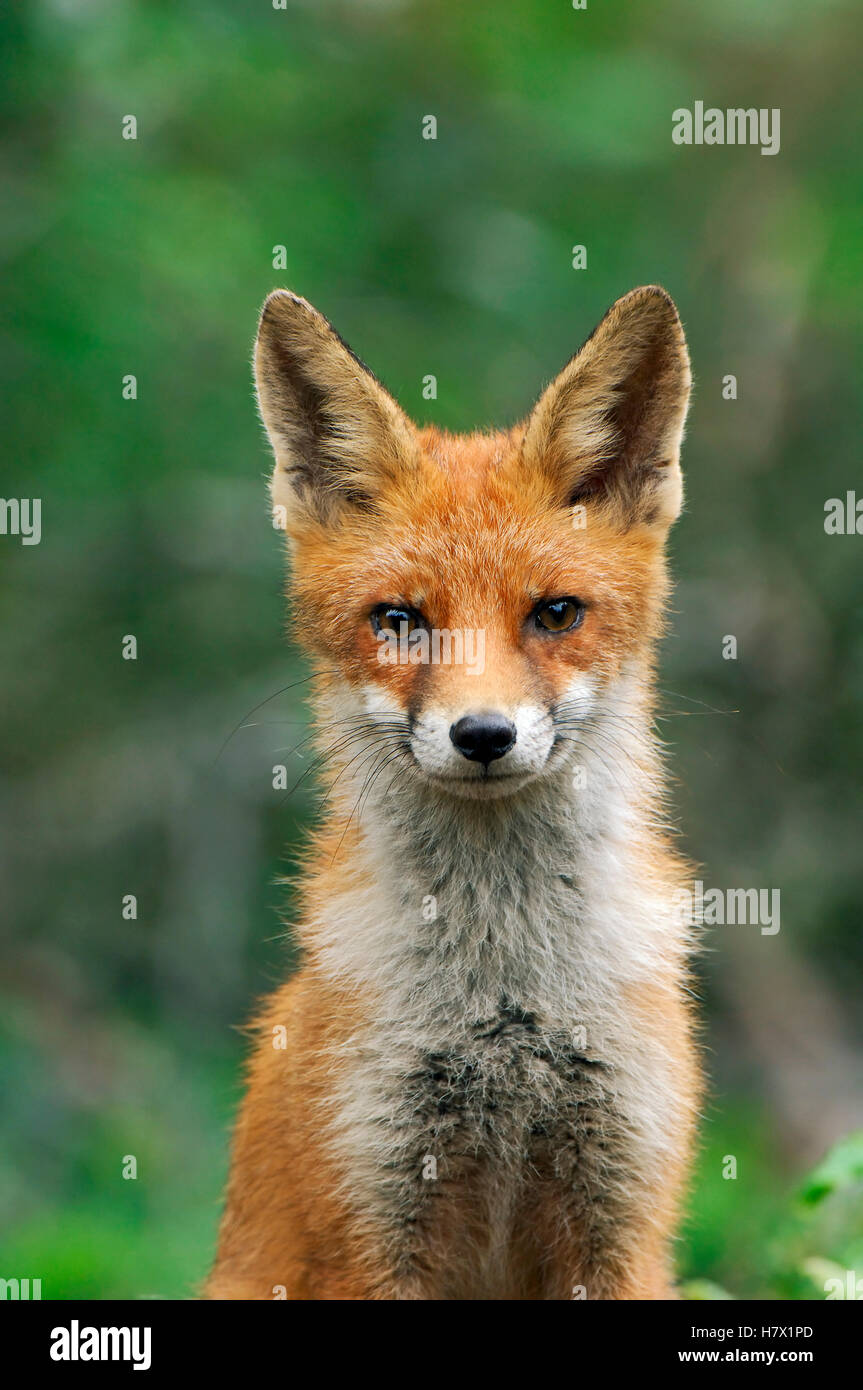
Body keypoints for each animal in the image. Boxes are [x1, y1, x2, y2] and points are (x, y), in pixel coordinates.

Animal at [206, 285, 701, 1300]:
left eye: (554, 614)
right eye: (399, 620)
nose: (482, 736)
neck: (503, 1005)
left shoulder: (621, 1218)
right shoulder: (370, 1220)